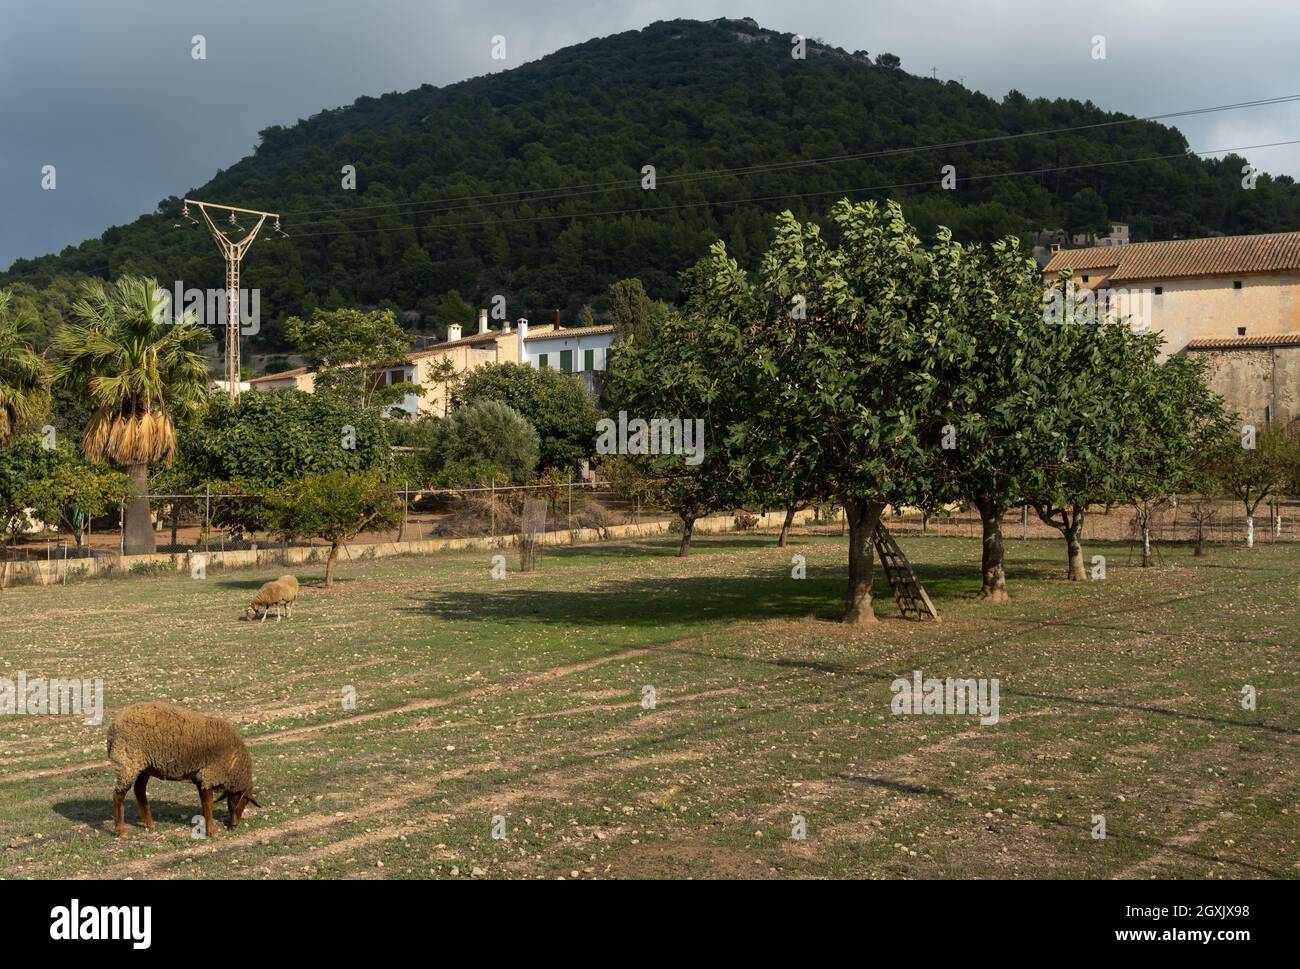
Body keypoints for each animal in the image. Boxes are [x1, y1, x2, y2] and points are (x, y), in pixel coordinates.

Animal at [107, 701, 260, 838]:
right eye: (245, 801)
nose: (234, 825)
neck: (234, 765)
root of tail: (113, 727)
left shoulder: (201, 777)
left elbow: (204, 804)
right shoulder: (209, 775)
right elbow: (208, 804)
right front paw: (213, 831)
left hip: (143, 766)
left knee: (139, 790)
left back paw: (150, 824)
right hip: (128, 762)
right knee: (118, 795)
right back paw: (121, 831)